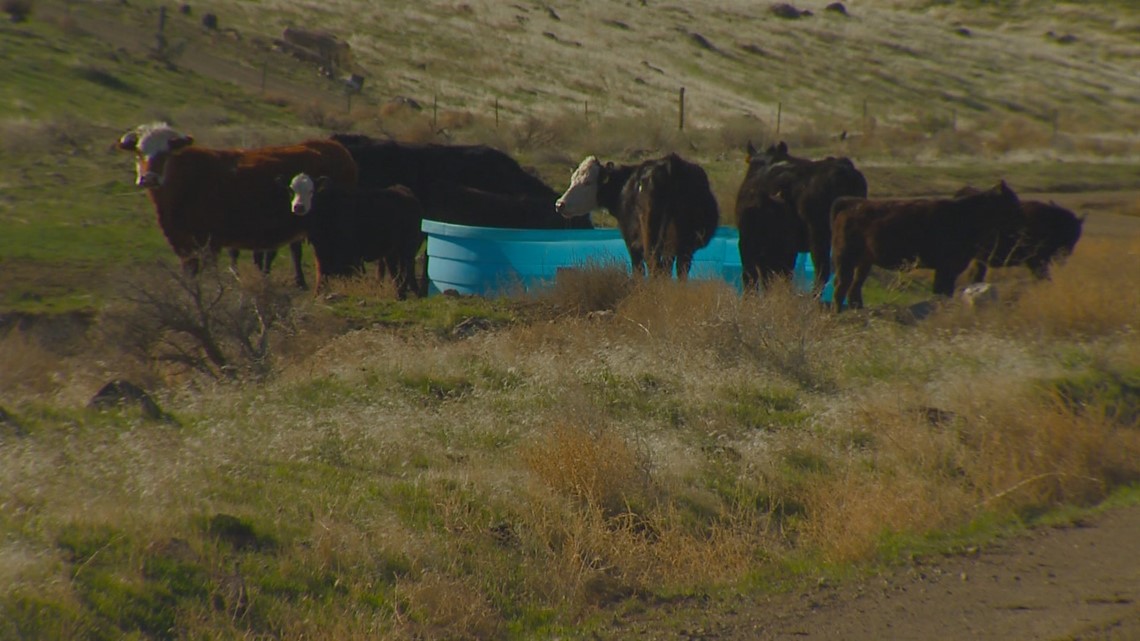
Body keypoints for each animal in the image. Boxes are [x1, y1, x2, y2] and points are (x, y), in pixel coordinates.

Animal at [115, 123, 358, 288]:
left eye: (165, 153)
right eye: (140, 152)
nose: (148, 178)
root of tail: (334, 147)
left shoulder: (208, 242)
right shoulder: (183, 244)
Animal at [285, 173, 424, 299]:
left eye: (311, 191)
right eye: (291, 190)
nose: (299, 207)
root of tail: (404, 191)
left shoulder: (351, 255)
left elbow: (350, 276)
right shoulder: (321, 252)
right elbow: (321, 276)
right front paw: (317, 296)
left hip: (408, 246)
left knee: (408, 268)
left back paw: (414, 292)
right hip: (391, 251)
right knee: (395, 270)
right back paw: (400, 294)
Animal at [554, 154, 720, 279]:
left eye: (588, 182)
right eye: (572, 179)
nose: (560, 204)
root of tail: (670, 166)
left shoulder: (631, 242)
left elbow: (638, 270)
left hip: (651, 238)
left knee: (654, 265)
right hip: (681, 244)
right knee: (676, 270)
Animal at [830, 181, 1025, 312]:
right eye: (1012, 202)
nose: (1022, 217)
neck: (965, 215)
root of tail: (852, 203)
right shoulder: (947, 268)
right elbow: (942, 291)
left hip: (864, 262)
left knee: (855, 286)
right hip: (845, 258)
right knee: (841, 285)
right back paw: (837, 312)